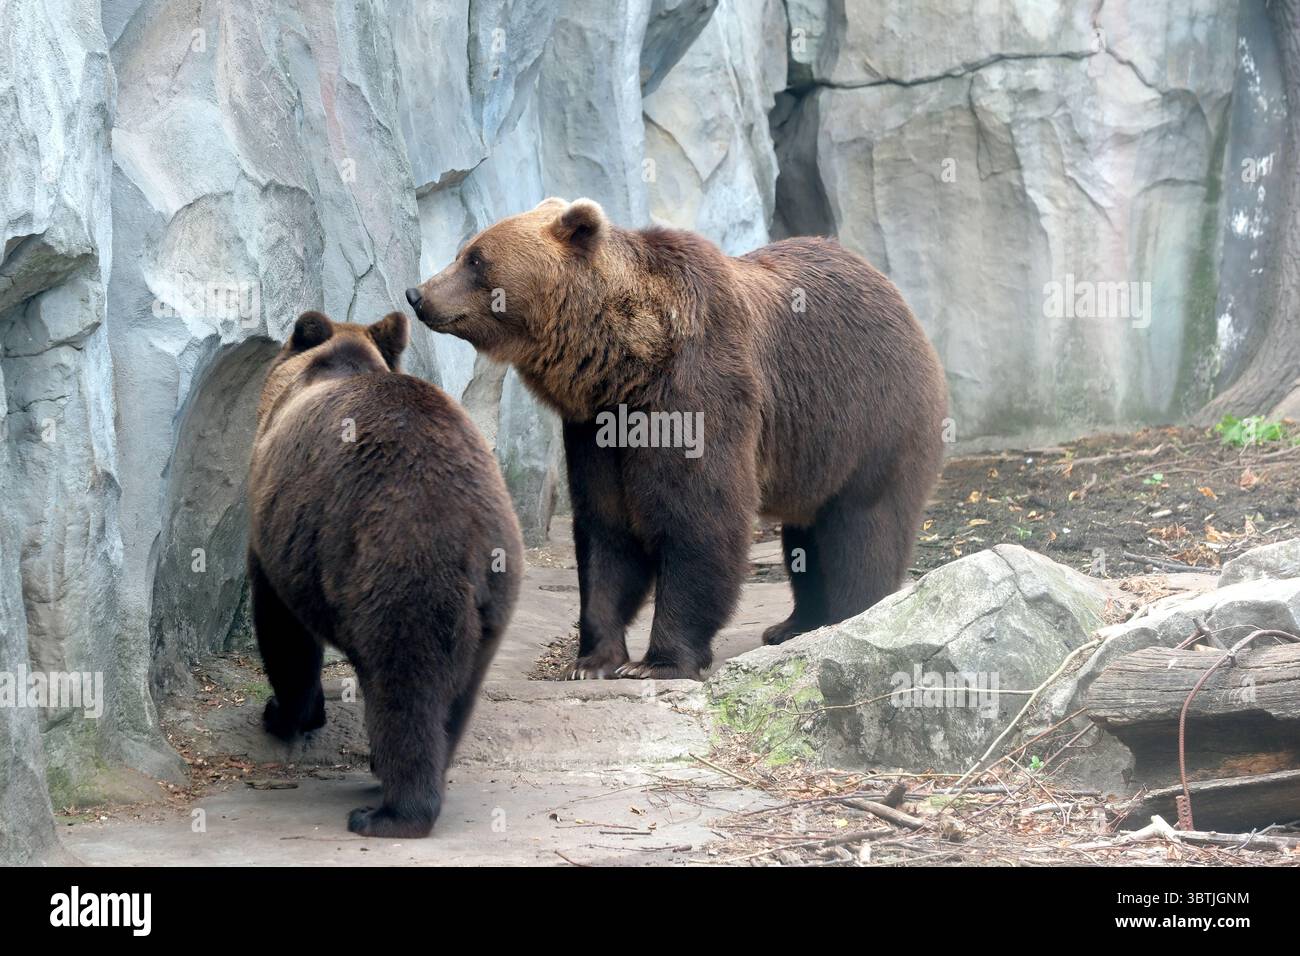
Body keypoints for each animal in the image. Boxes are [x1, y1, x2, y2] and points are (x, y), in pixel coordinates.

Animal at [247, 309, 522, 836]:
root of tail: (468, 533)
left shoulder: (281, 526)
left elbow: (283, 630)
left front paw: (284, 713)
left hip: (396, 570)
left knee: (405, 687)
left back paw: (390, 811)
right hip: (494, 601)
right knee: (458, 697)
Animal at [404, 198, 947, 680]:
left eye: (476, 258)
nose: (417, 293)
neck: (628, 363)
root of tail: (894, 293)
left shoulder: (699, 390)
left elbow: (698, 519)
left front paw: (659, 660)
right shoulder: (596, 429)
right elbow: (605, 529)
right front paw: (592, 659)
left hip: (874, 418)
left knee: (864, 526)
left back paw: (851, 616)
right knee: (804, 534)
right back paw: (793, 624)